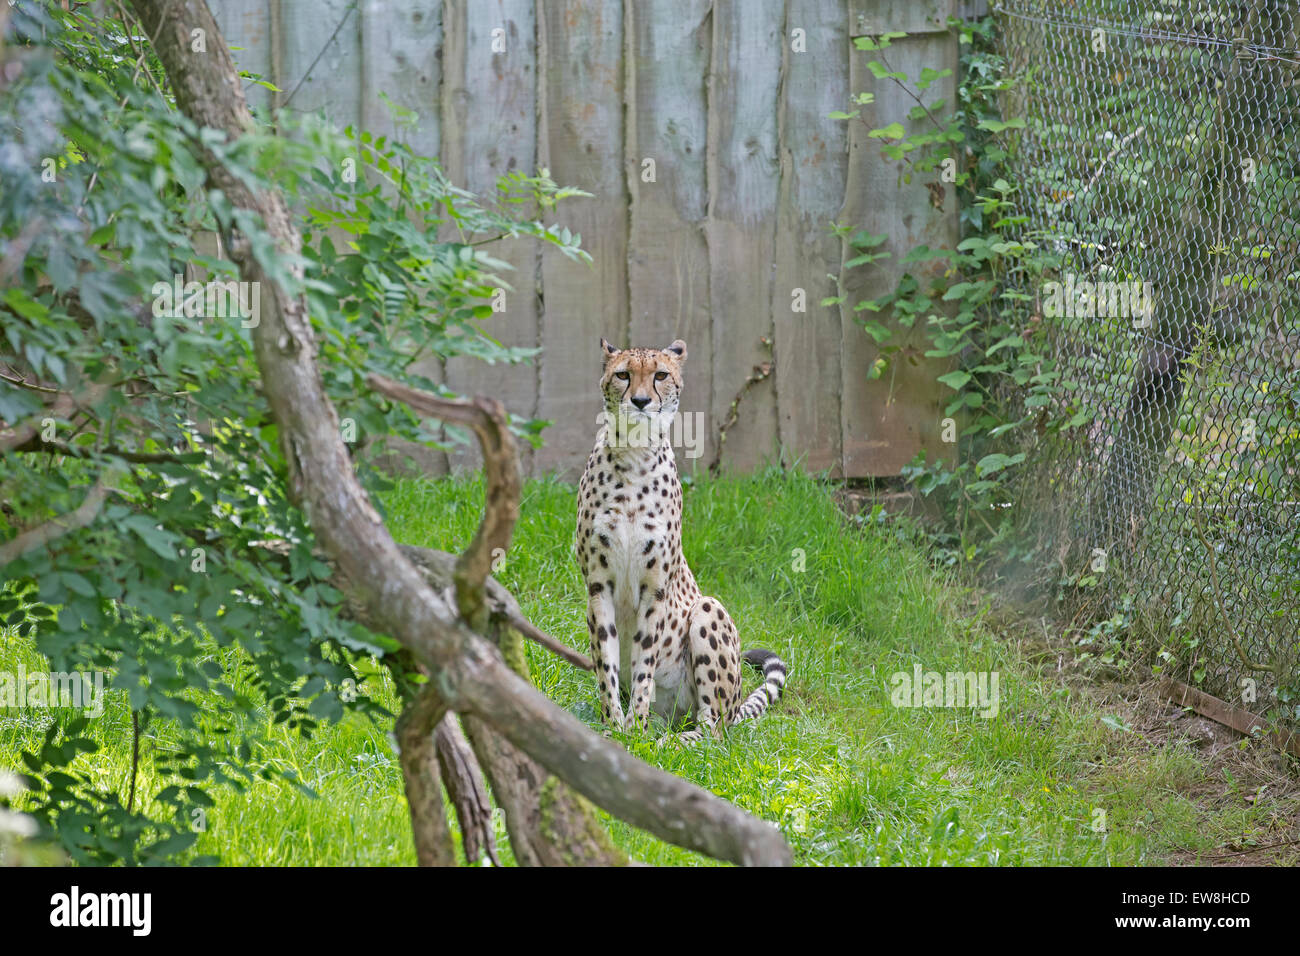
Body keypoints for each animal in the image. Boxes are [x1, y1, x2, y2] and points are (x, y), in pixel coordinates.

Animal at [574, 336, 787, 742]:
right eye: (623, 375)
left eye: (660, 375)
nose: (641, 401)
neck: (634, 455)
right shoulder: (598, 585)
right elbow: (606, 662)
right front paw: (613, 727)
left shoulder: (656, 588)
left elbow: (643, 663)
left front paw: (635, 732)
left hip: (707, 610)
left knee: (714, 730)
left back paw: (669, 742)